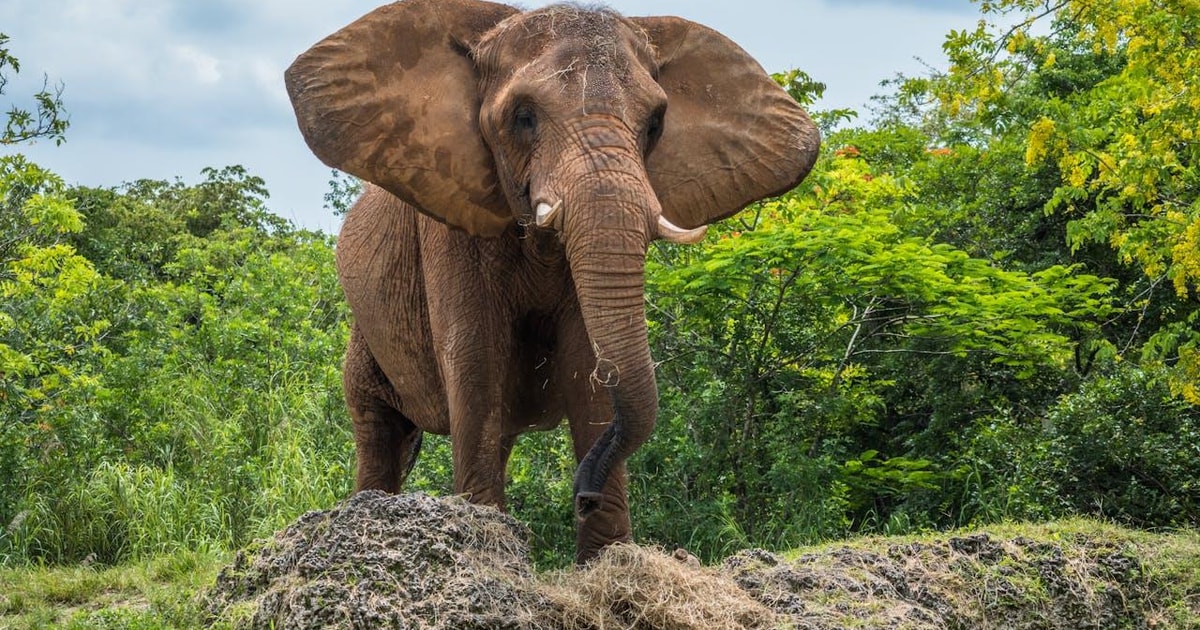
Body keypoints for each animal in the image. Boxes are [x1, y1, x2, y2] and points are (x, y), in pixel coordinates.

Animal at [285, 0, 820, 563]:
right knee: (377, 426)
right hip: (364, 330)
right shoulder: (451, 224)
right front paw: (488, 552)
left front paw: (607, 562)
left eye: (655, 122)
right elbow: (475, 357)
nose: (583, 495)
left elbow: (590, 363)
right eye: (524, 117)